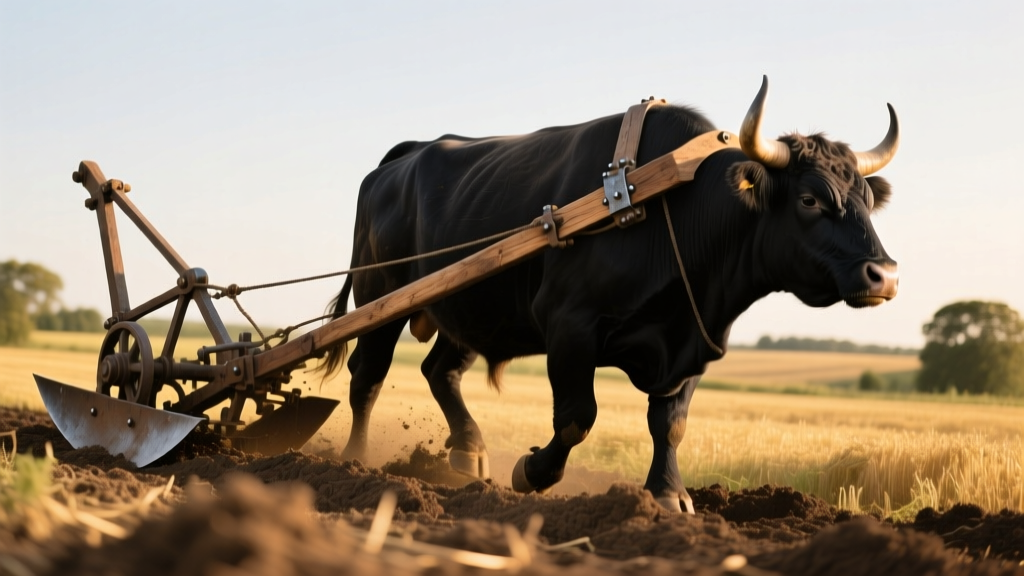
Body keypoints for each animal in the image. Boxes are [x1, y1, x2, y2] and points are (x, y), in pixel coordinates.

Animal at [322, 77, 899, 513]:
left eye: (866, 199)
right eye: (809, 199)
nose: (884, 276)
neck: (674, 208)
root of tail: (407, 155)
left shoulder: (692, 339)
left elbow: (671, 424)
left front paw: (667, 495)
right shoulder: (569, 325)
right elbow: (578, 416)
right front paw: (533, 471)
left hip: (471, 307)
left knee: (439, 370)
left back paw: (468, 453)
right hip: (379, 295)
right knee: (368, 377)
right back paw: (353, 460)